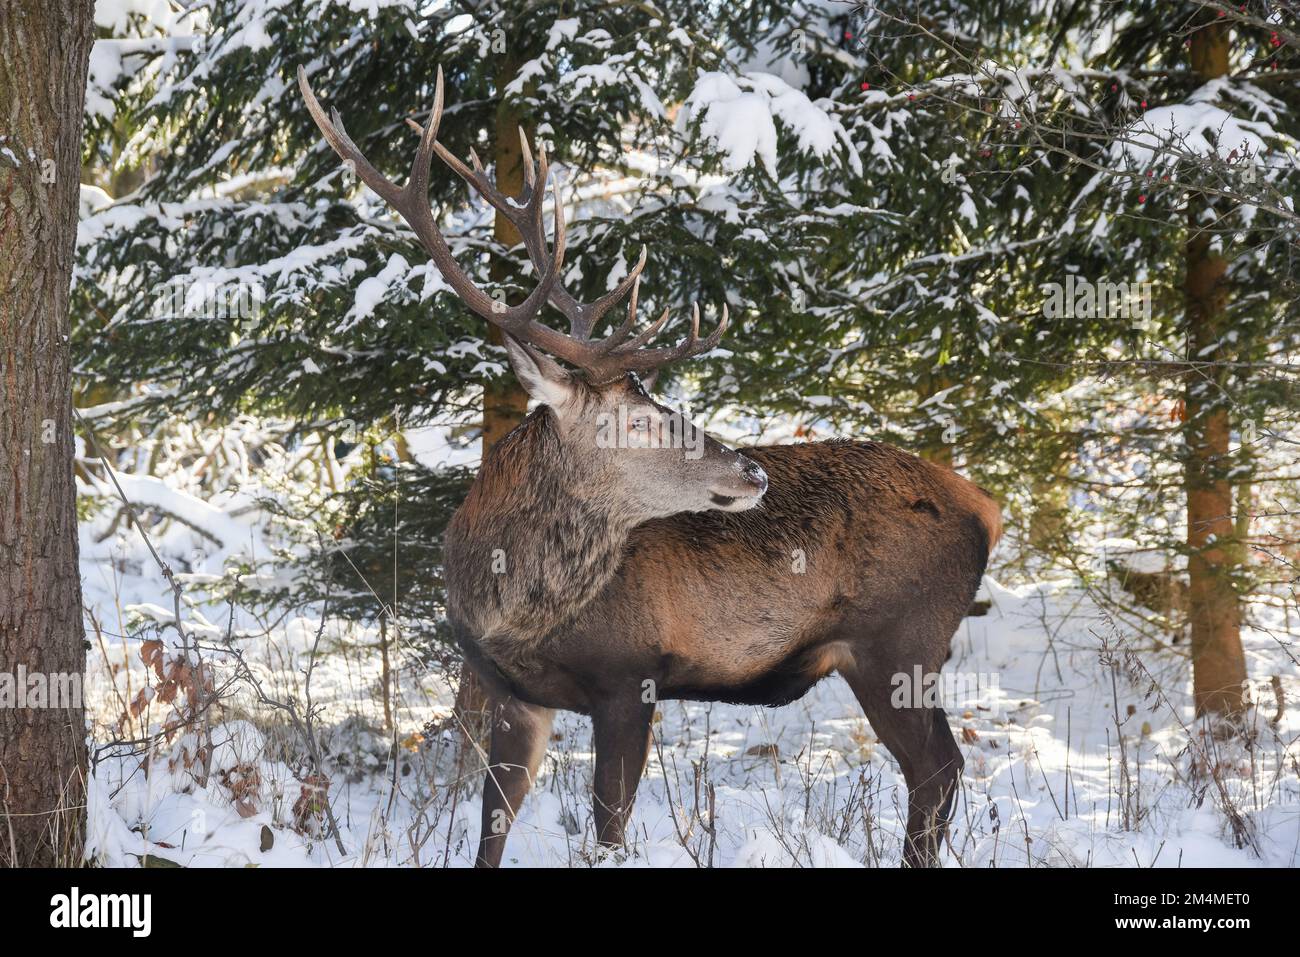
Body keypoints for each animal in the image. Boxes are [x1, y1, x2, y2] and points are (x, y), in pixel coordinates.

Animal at [298, 64, 1002, 868]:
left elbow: (608, 829)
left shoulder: (630, 676)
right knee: (939, 772)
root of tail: (987, 507)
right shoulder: (510, 692)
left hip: (900, 642)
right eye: (637, 418)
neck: (512, 608)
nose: (754, 473)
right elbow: (491, 826)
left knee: (938, 770)